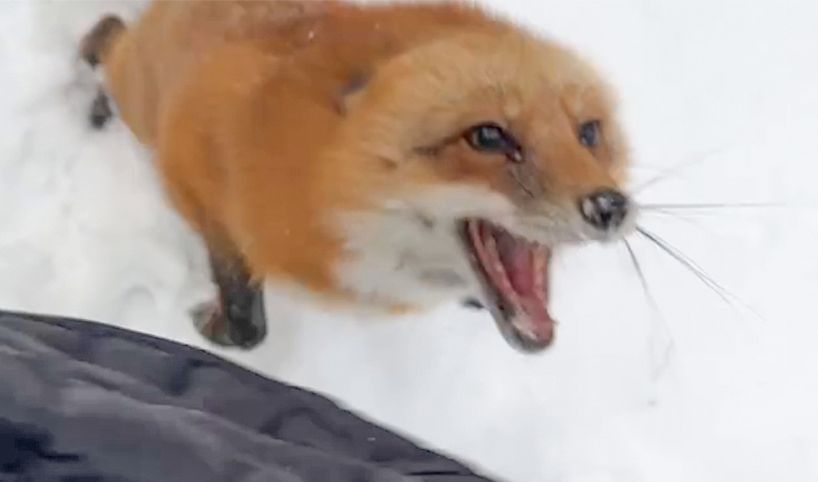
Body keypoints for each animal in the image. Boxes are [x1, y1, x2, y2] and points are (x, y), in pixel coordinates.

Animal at [79, 0, 636, 354]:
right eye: (487, 137)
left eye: (588, 133)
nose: (610, 207)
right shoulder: (195, 174)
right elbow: (247, 322)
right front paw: (212, 325)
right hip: (139, 97)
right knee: (109, 36)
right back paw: (95, 92)